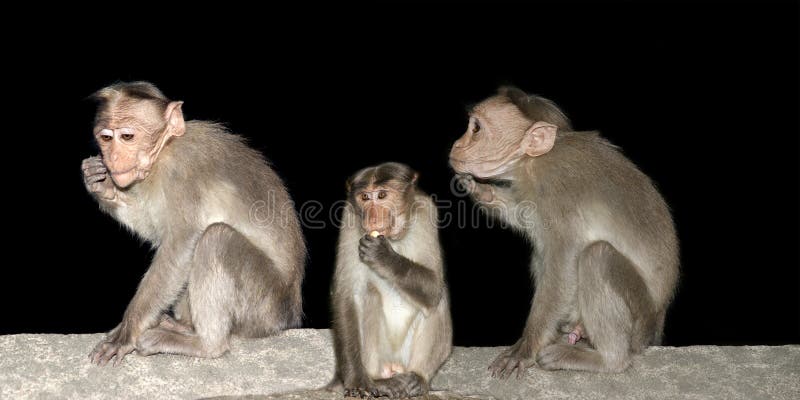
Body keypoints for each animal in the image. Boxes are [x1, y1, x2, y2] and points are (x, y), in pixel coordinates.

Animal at [82, 81, 305, 366]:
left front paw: (127, 331)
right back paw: (184, 326)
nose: (112, 156)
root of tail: (290, 311)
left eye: (128, 137)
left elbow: (180, 243)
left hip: (264, 306)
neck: (165, 149)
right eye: (106, 138)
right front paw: (102, 187)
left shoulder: (181, 170)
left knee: (215, 239)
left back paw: (206, 345)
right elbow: (158, 232)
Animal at [328, 162, 452, 399]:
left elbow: (434, 286)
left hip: (405, 357)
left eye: (382, 195)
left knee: (436, 301)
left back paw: (417, 380)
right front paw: (356, 381)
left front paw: (385, 257)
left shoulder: (426, 211)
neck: (394, 237)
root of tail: (394, 366)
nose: (372, 217)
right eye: (365, 197)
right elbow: (348, 295)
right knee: (368, 294)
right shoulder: (350, 219)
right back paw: (378, 381)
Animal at [449, 86, 679, 377]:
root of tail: (657, 320)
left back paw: (607, 360)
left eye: (476, 128)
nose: (457, 144)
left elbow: (564, 259)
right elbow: (525, 216)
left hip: (639, 319)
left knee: (596, 256)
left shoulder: (556, 190)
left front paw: (527, 346)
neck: (533, 161)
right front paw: (483, 191)